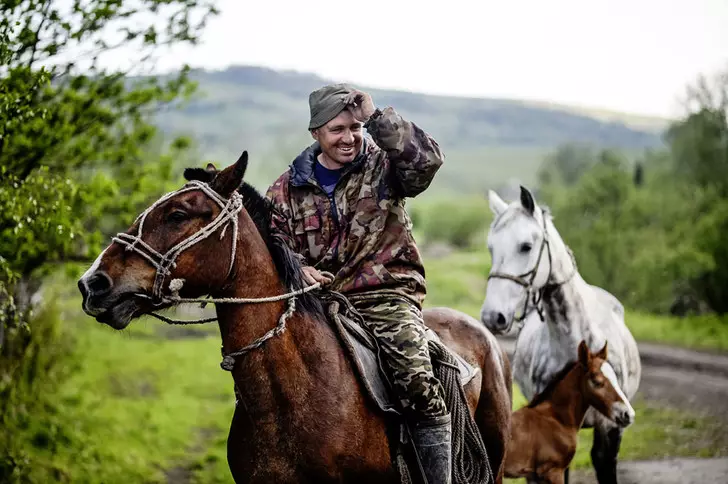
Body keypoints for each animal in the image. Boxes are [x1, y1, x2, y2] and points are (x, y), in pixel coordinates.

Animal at [504, 340, 636, 484]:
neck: (555, 419)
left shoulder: (533, 476)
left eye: (616, 379)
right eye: (597, 382)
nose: (628, 414)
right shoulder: (553, 471)